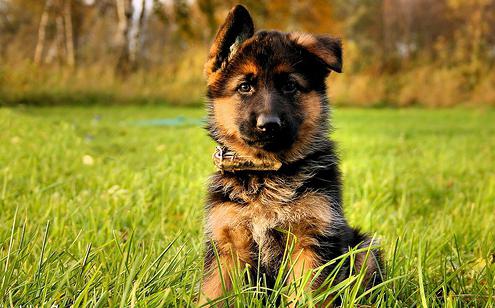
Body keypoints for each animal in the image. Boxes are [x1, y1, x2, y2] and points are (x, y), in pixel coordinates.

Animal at [199, 4, 384, 306]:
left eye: (290, 86)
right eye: (245, 86)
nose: (269, 124)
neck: (267, 174)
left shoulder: (311, 241)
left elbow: (308, 293)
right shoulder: (226, 245)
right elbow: (212, 293)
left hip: (364, 250)